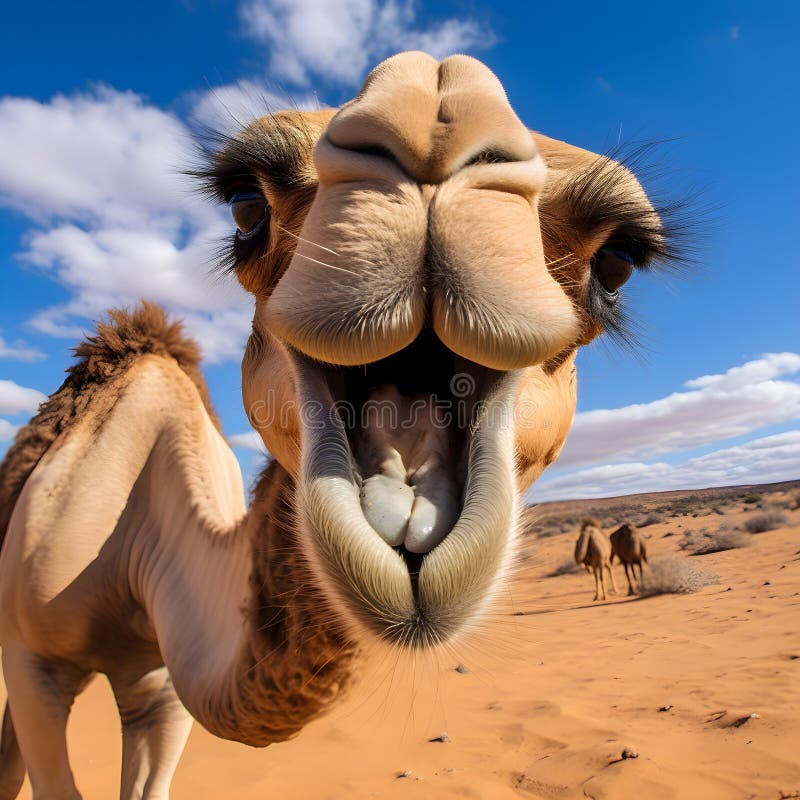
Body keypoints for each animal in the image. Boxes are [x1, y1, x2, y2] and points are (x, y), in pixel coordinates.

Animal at [0, 52, 679, 798]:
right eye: (246, 206)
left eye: (616, 262)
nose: (433, 105)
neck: (138, 542)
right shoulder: (34, 664)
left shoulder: (159, 686)